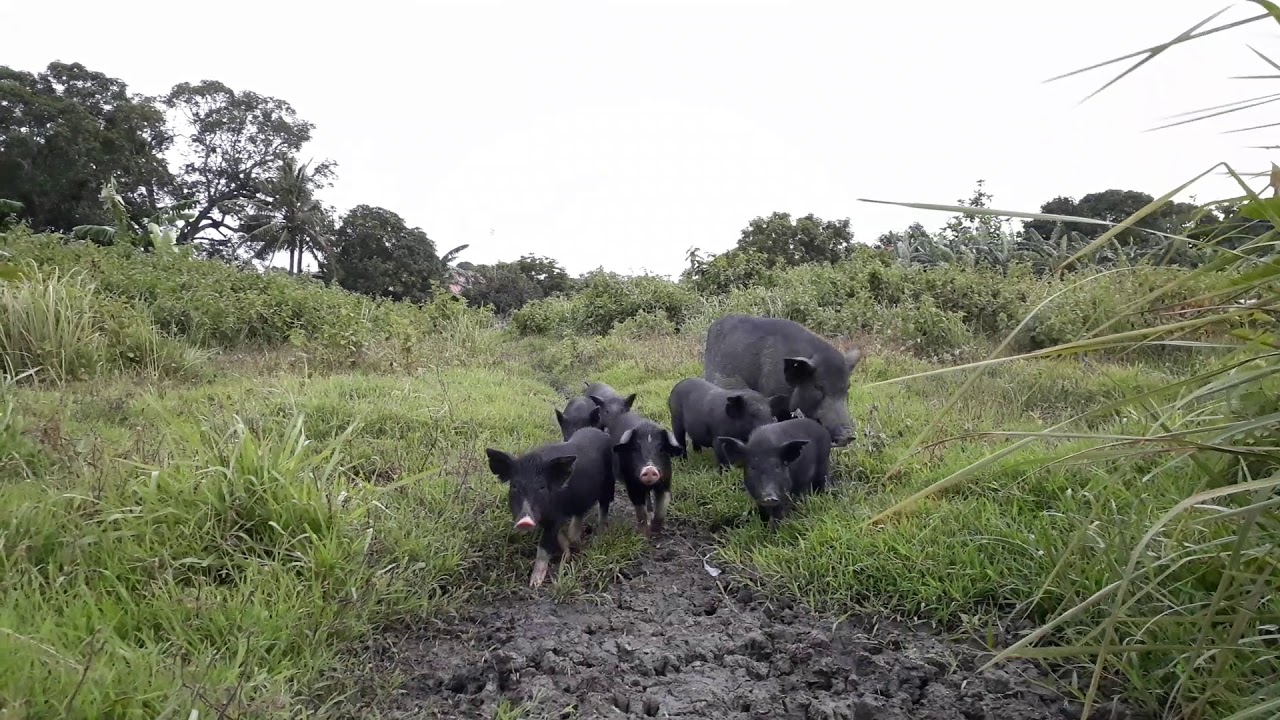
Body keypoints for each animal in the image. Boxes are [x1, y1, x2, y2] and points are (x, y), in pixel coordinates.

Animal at [484, 426, 615, 587]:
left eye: (542, 487)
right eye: (514, 486)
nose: (525, 520)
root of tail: (600, 432)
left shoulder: (555, 517)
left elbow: (543, 547)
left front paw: (534, 584)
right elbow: (558, 536)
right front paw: (567, 555)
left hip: (609, 483)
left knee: (604, 507)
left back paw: (599, 538)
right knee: (579, 513)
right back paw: (575, 538)